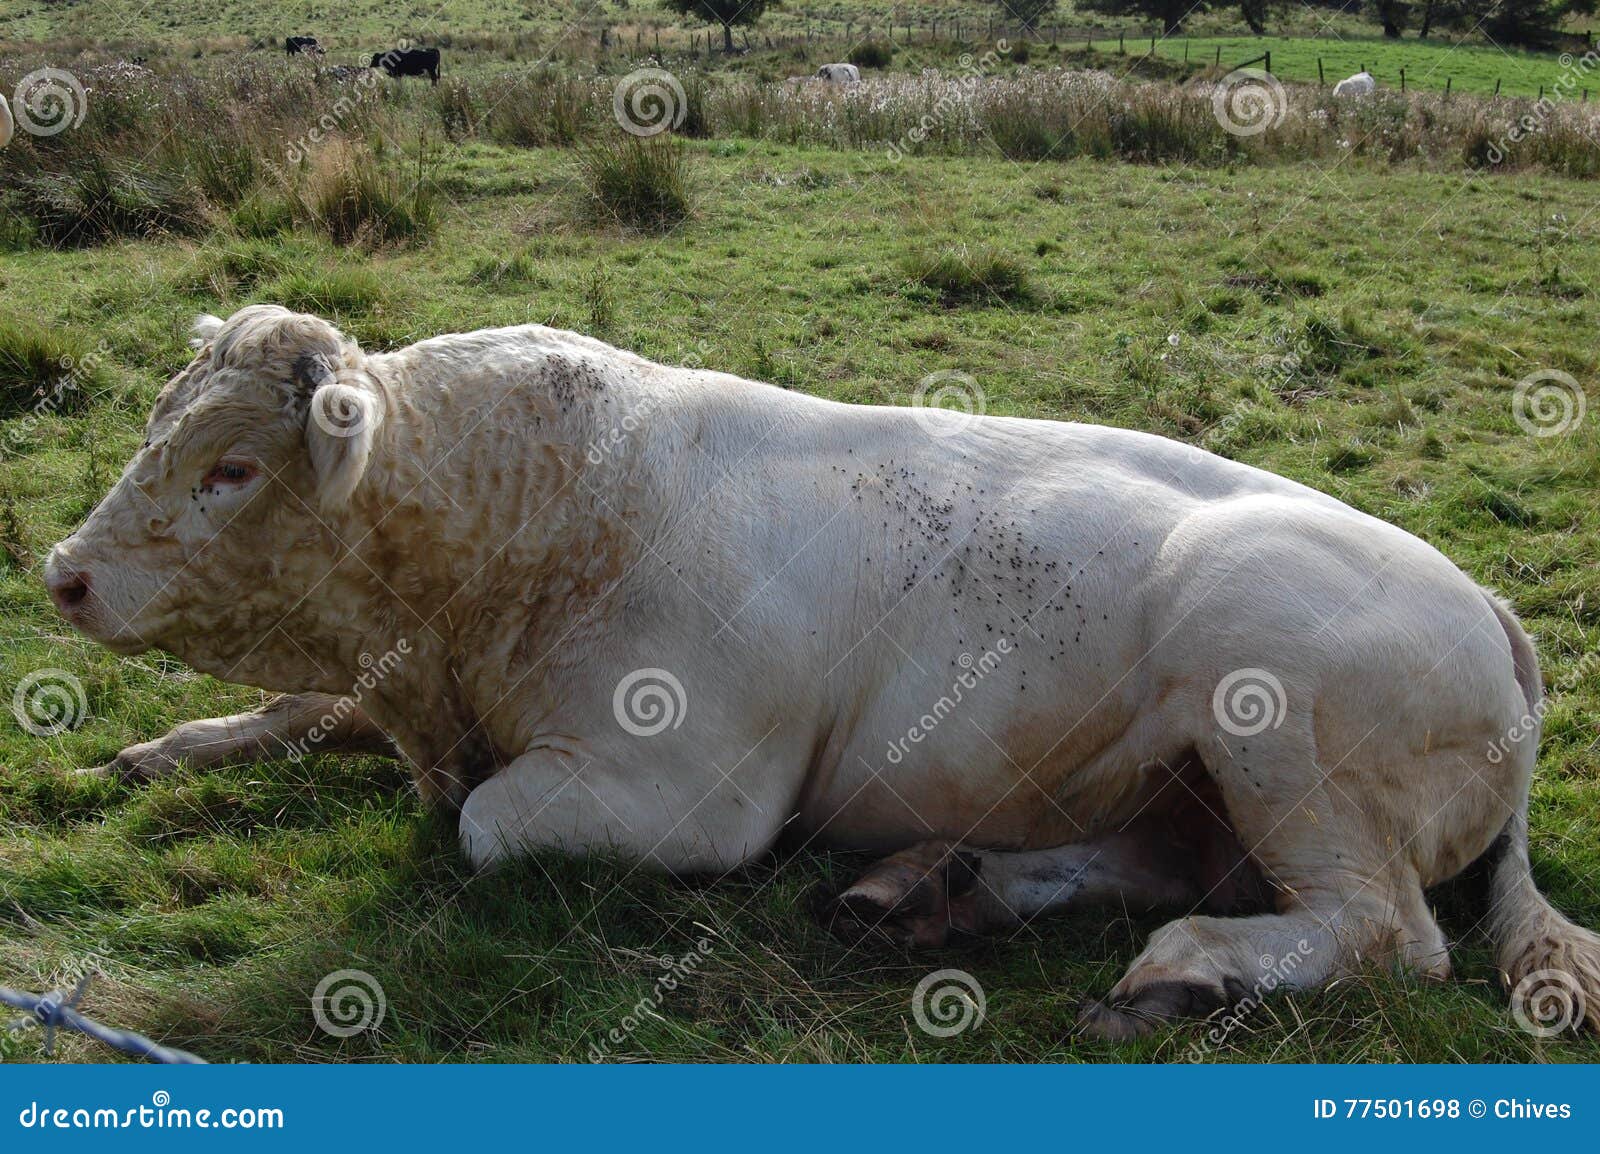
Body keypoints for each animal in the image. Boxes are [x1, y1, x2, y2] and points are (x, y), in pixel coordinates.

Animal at [42, 306, 1600, 1040]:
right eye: (159, 424)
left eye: (232, 467)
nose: (62, 570)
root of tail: (1491, 607)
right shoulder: (405, 687)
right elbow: (308, 706)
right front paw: (166, 744)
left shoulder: (686, 791)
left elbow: (479, 824)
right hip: (1186, 777)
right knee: (1145, 855)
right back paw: (931, 887)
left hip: (1273, 709)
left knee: (1387, 932)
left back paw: (1182, 970)